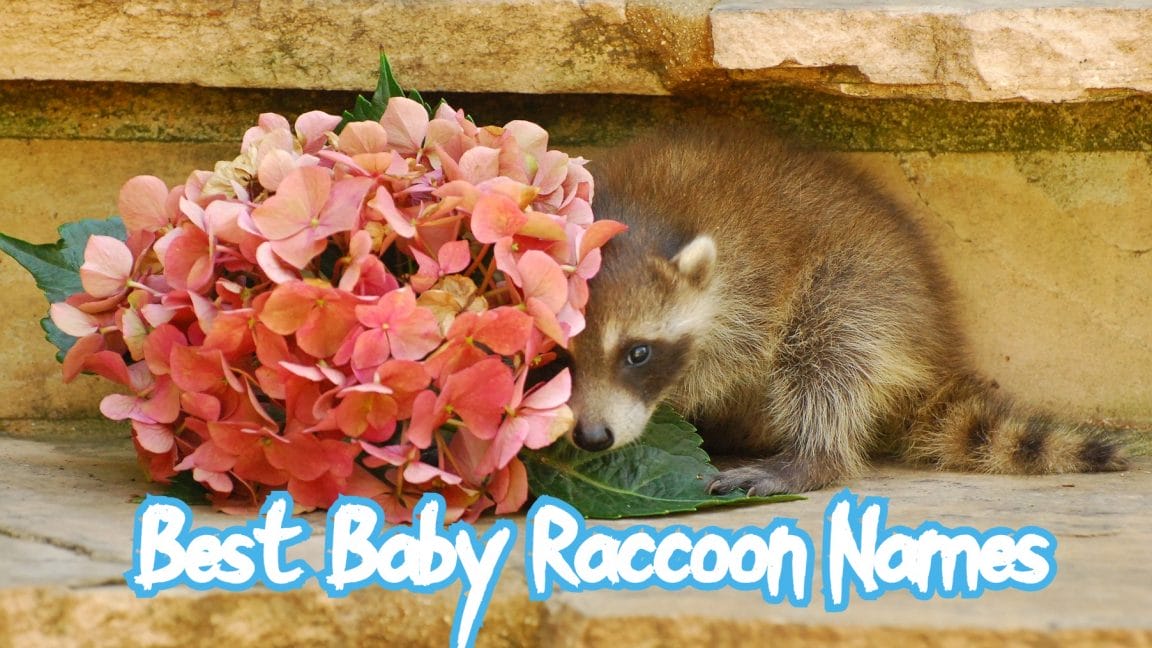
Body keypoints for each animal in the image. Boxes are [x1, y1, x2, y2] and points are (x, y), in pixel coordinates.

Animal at [567, 125, 1129, 496]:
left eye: (638, 353)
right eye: (559, 357)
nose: (592, 437)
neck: (639, 217)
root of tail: (935, 335)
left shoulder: (751, 283)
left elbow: (735, 362)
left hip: (866, 283)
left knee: (829, 350)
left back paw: (814, 458)